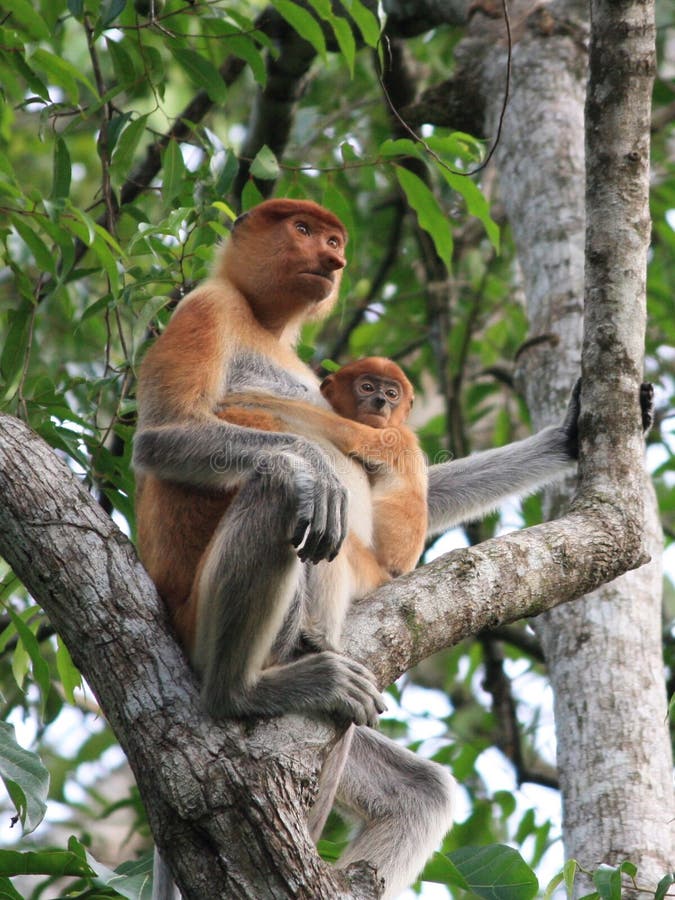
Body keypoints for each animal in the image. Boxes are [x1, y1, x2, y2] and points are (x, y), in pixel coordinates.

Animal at [132, 198, 648, 899]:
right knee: (281, 489)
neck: (262, 320)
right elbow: (163, 435)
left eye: (332, 239)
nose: (332, 261)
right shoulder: (206, 310)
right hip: (205, 617)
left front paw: (568, 434)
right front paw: (315, 467)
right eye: (302, 230)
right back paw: (240, 689)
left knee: (421, 792)